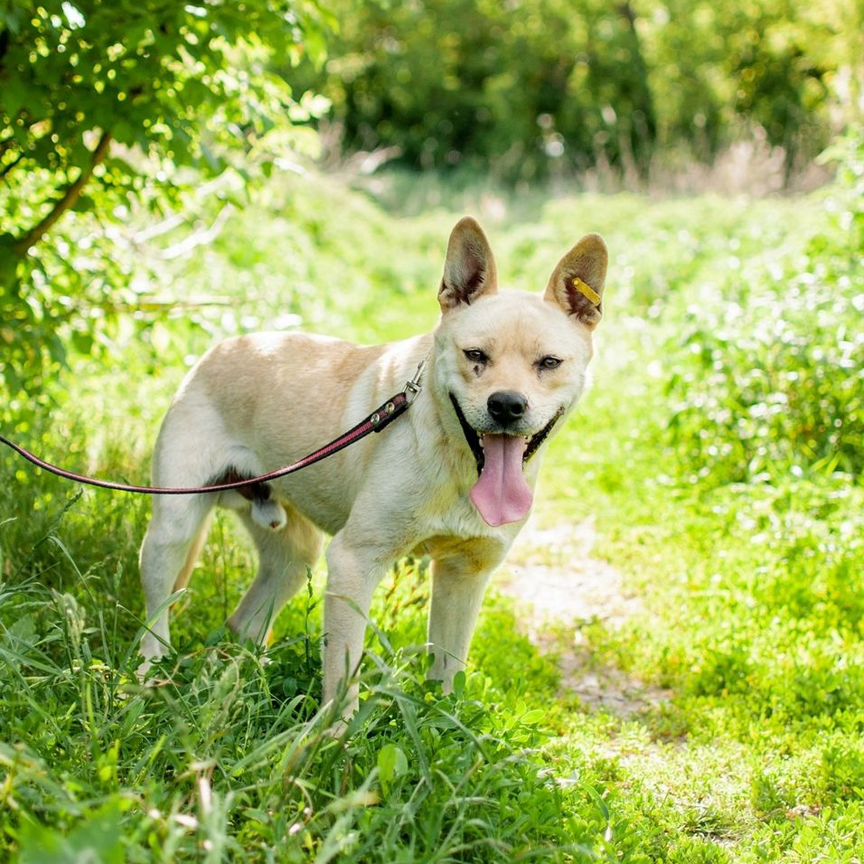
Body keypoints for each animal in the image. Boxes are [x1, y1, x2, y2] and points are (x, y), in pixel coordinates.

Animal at [138, 218, 608, 716]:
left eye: (549, 363)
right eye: (476, 356)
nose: (506, 406)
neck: (457, 466)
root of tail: (225, 345)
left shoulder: (465, 575)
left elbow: (448, 673)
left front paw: (441, 724)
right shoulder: (354, 562)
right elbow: (343, 673)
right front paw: (332, 734)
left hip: (294, 558)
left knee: (243, 623)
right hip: (173, 528)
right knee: (155, 619)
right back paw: (149, 677)